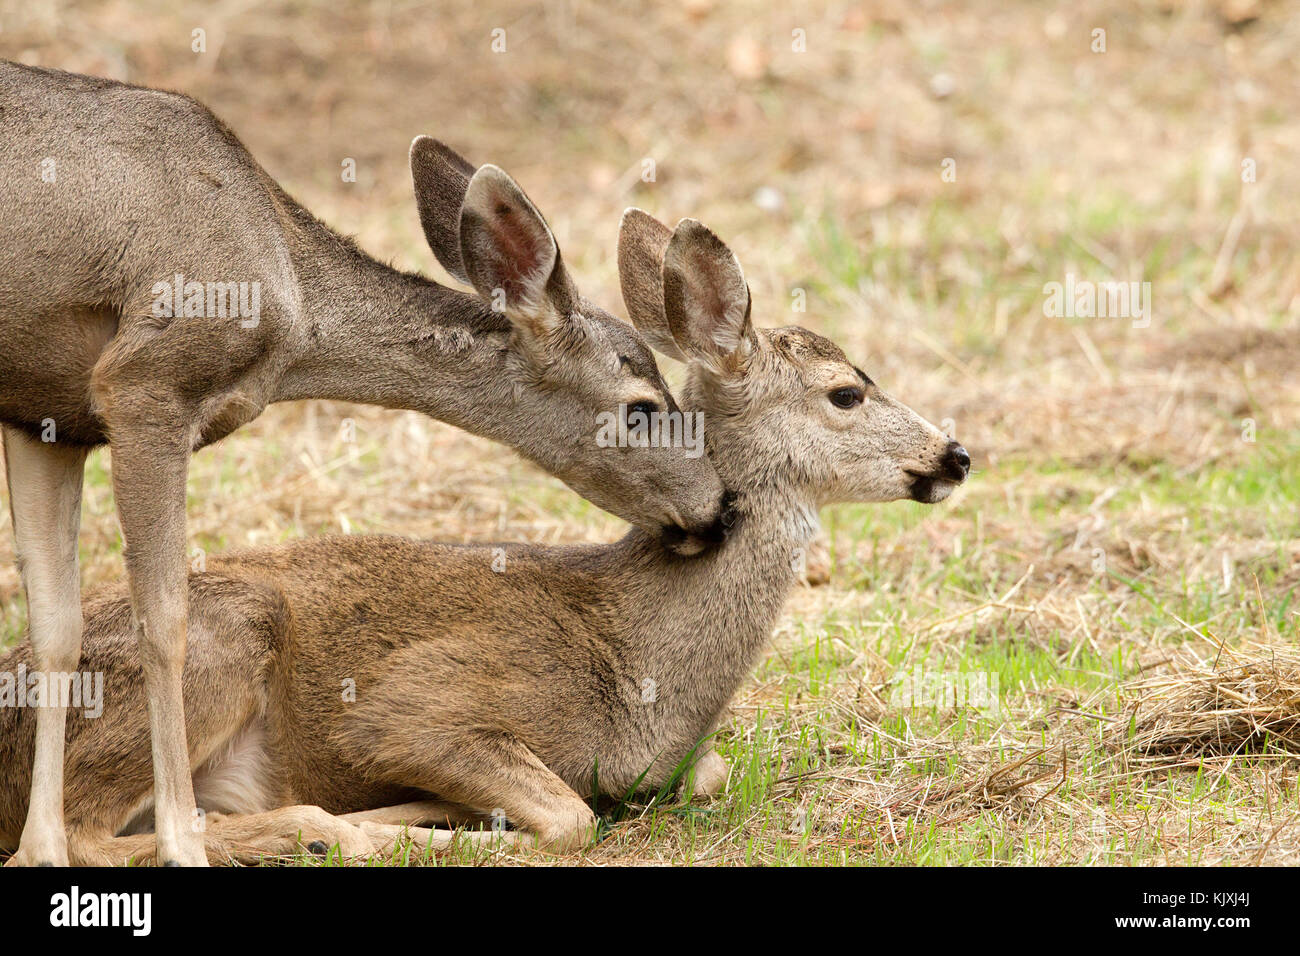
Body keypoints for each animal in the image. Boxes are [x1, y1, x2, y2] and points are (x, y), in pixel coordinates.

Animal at [0, 61, 729, 867]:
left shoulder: (47, 415)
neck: (290, 304)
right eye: (643, 408)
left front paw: (38, 847)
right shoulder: (145, 381)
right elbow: (164, 619)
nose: (718, 504)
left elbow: (57, 625)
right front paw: (178, 842)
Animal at [0, 209, 970, 864]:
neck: (639, 655)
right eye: (847, 392)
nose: (954, 454)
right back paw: (327, 830)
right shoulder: (412, 708)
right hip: (222, 638)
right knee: (79, 833)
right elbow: (569, 818)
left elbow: (707, 774)